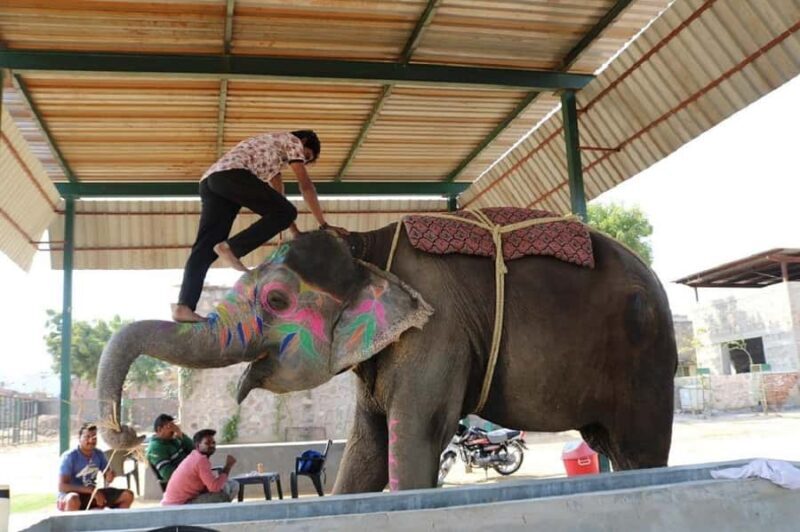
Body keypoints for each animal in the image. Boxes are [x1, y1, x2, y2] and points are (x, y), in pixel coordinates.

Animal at [97, 222, 677, 493]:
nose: (124, 433)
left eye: (277, 301)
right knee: (611, 446)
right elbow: (367, 451)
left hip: (648, 362)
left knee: (640, 449)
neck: (365, 246)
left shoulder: (438, 329)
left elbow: (415, 434)